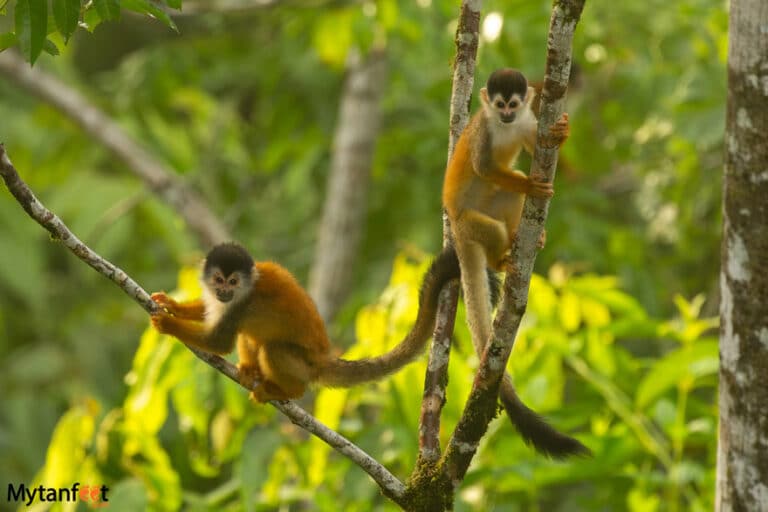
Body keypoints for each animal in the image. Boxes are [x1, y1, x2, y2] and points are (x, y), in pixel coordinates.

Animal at [150, 242, 462, 403]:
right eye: (218, 280)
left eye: (233, 282)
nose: (224, 291)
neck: (242, 292)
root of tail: (324, 358)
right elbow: (208, 312)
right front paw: (171, 305)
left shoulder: (241, 305)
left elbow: (219, 342)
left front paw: (168, 325)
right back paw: (251, 371)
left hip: (304, 365)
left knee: (273, 349)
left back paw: (287, 390)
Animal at [442, 68, 589, 458]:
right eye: (498, 105)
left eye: (512, 104)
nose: (506, 115)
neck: (504, 125)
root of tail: (455, 230)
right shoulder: (483, 130)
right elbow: (484, 166)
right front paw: (531, 187)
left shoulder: (527, 124)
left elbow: (537, 150)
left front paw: (562, 132)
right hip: (470, 224)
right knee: (492, 219)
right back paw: (501, 257)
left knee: (507, 192)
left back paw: (522, 240)